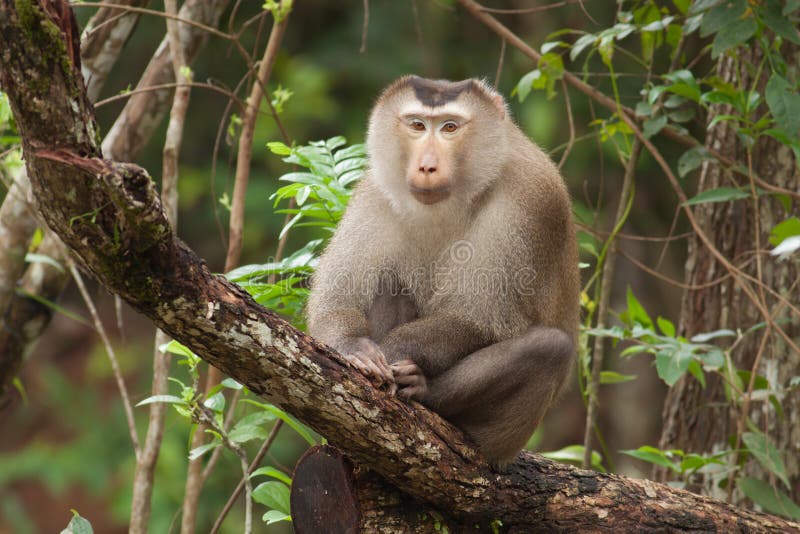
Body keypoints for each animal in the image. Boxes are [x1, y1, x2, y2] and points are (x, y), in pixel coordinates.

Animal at [306, 75, 579, 469]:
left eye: (450, 127)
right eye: (418, 125)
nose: (427, 167)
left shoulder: (529, 197)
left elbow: (479, 318)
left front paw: (393, 353)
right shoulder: (375, 192)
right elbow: (337, 298)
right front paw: (354, 346)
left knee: (551, 348)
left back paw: (424, 391)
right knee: (388, 279)